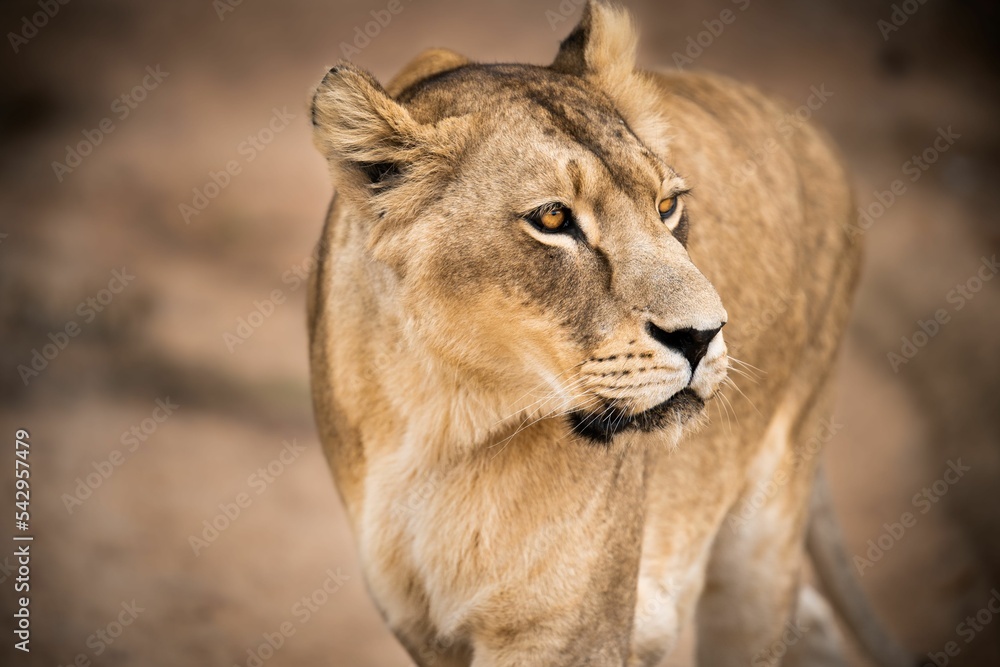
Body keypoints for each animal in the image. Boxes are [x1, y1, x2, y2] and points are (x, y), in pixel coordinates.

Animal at [306, 3, 911, 665]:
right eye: (552, 218)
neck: (437, 420)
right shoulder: (424, 632)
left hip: (760, 541)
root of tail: (802, 125)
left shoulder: (566, 632)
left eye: (667, 206)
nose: (704, 336)